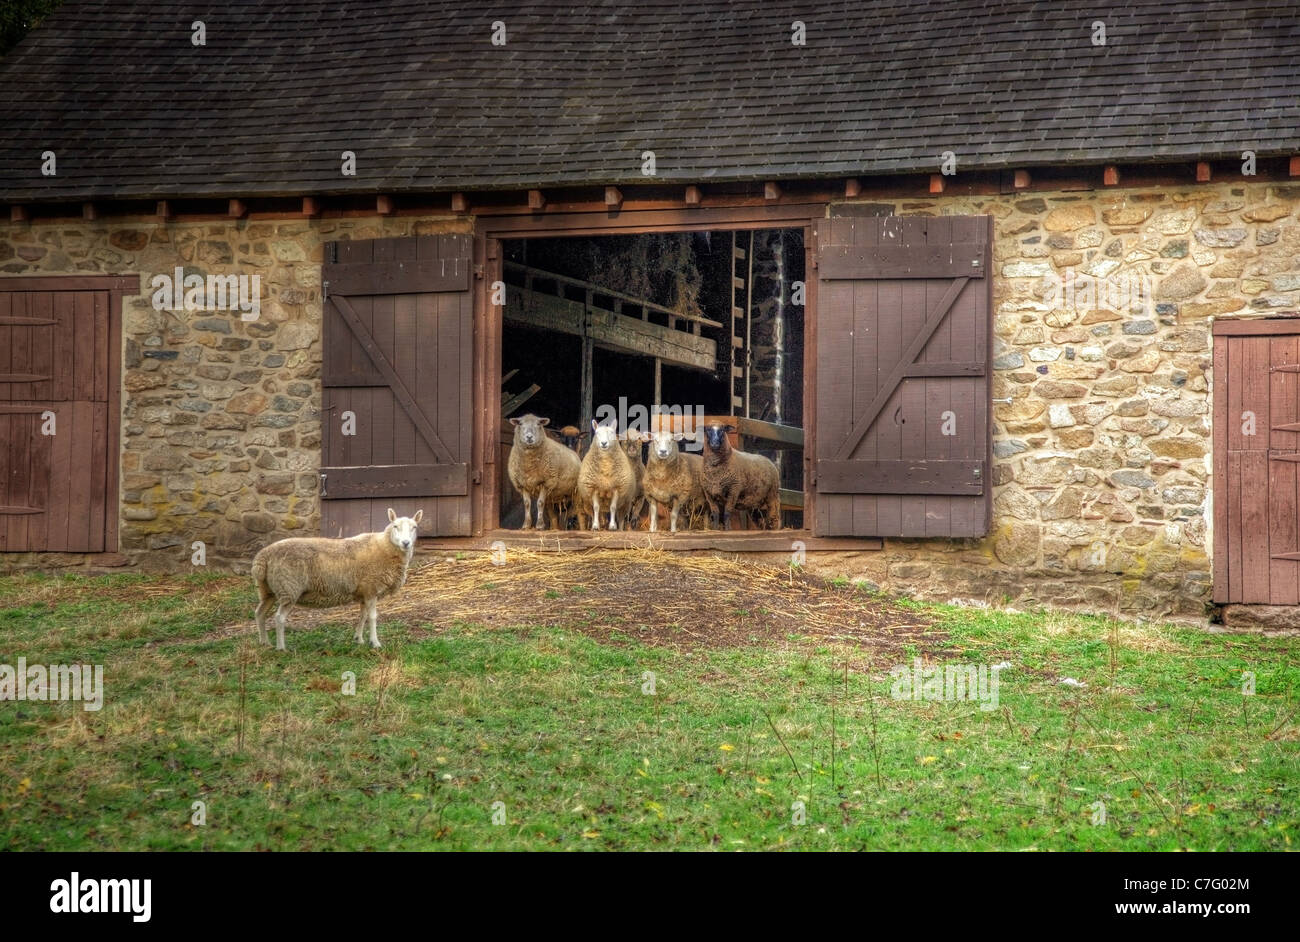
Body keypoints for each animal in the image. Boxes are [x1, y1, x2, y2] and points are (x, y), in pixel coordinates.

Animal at [252, 508, 423, 650]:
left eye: (414, 527)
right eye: (395, 526)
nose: (406, 543)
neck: (385, 547)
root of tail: (263, 557)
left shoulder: (364, 592)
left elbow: (363, 616)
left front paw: (359, 639)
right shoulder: (371, 588)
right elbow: (372, 617)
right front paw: (375, 642)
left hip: (268, 590)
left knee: (260, 613)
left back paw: (264, 642)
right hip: (289, 588)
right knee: (279, 618)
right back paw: (281, 648)